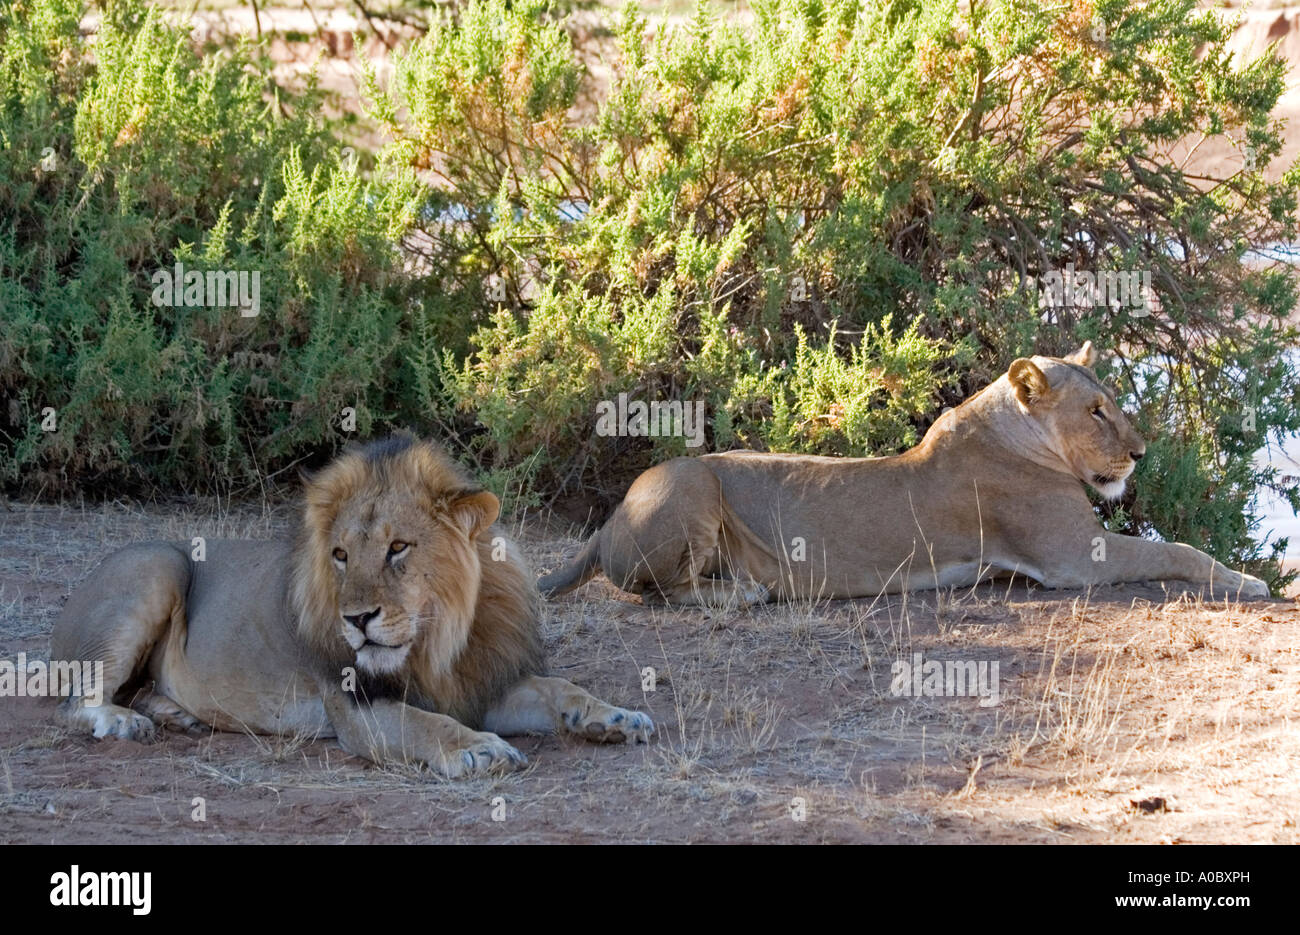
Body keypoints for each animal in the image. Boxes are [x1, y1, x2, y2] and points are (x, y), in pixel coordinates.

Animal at [50, 436, 652, 778]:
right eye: (340, 555)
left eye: (398, 548)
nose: (357, 620)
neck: (437, 641)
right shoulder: (356, 707)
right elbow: (423, 723)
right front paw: (480, 749)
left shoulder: (480, 683)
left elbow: (558, 689)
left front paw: (613, 716)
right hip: (157, 565)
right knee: (81, 701)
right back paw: (126, 723)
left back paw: (177, 713)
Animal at [540, 342, 1271, 606]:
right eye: (1096, 411)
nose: (1141, 454)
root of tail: (607, 520)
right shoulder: (1071, 555)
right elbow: (1177, 548)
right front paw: (1248, 580)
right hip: (689, 483)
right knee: (658, 591)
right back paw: (742, 594)